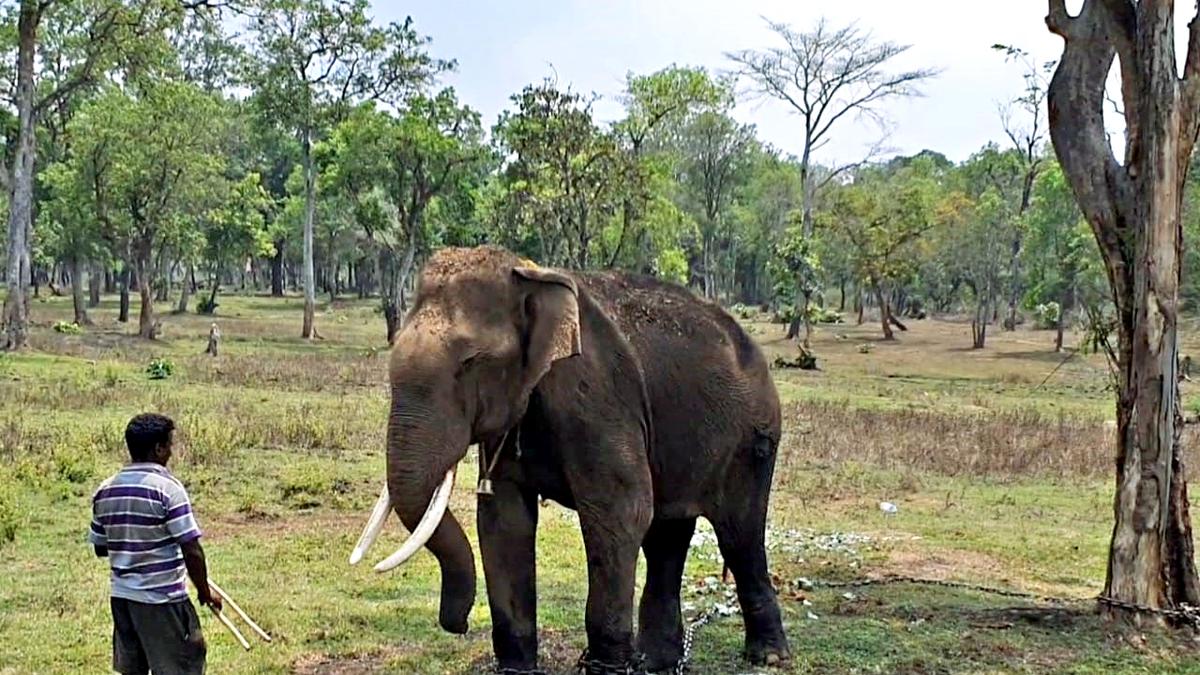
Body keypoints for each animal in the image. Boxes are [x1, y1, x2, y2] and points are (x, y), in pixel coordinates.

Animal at [350, 245, 790, 674]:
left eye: (470, 362)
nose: (457, 624)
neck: (529, 277)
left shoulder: (598, 394)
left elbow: (621, 512)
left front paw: (603, 667)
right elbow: (503, 519)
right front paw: (516, 670)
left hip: (752, 441)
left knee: (739, 534)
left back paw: (767, 656)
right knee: (667, 536)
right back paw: (657, 663)